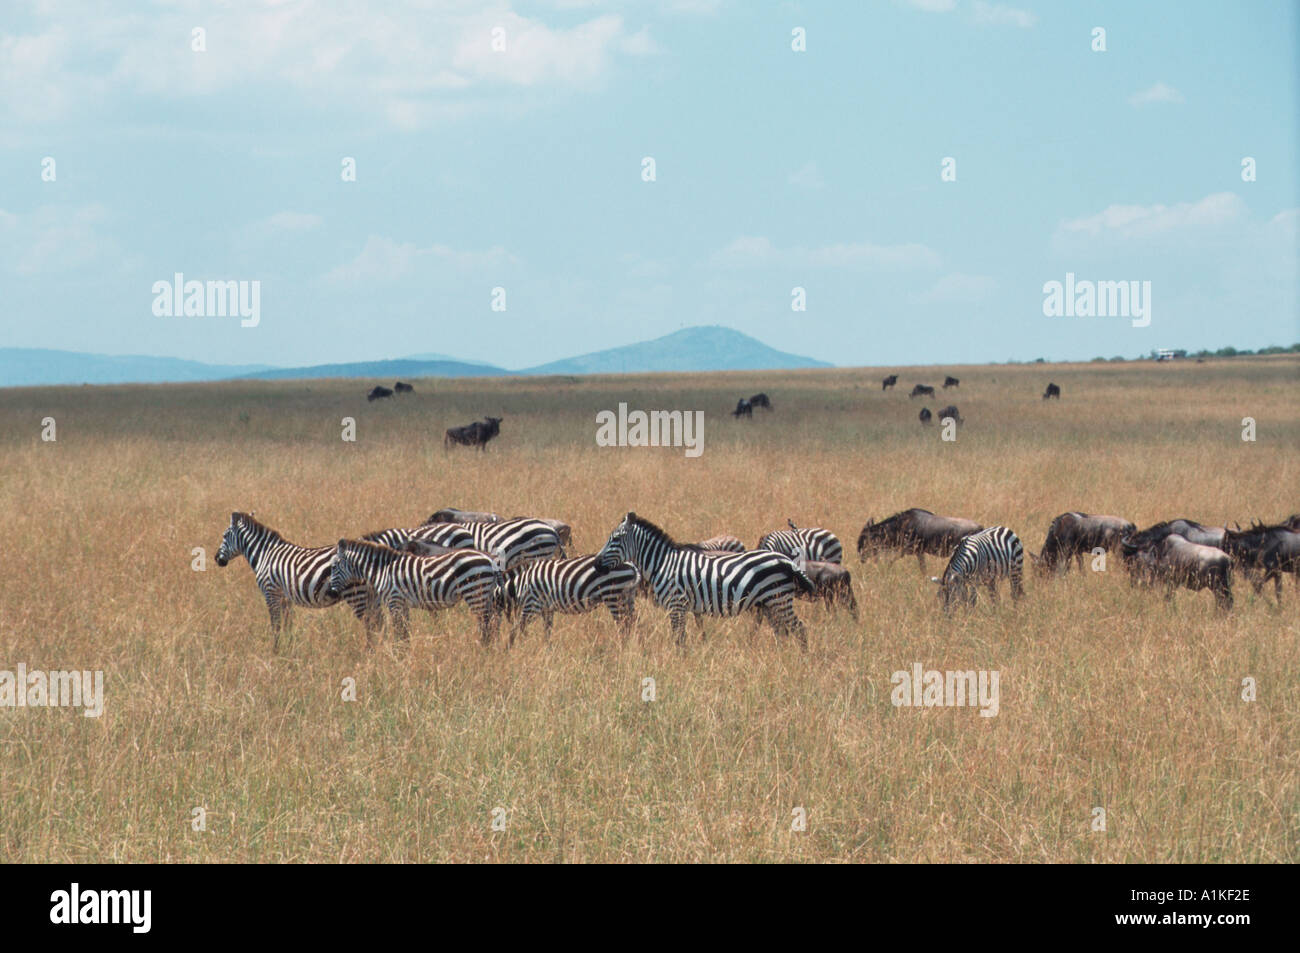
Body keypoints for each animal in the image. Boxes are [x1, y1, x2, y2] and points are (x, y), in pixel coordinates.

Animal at [214, 512, 375, 649]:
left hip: (356, 594)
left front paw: (276, 650)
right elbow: (288, 624)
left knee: (370, 625)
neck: (265, 555)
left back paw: (369, 653)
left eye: (224, 536)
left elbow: (276, 625)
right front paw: (289, 647)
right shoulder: (285, 598)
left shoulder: (271, 593)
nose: (216, 559)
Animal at [327, 539, 503, 645]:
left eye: (333, 567)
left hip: (475, 591)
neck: (382, 570)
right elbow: (405, 631)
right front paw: (404, 651)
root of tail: (490, 559)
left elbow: (399, 630)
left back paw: (482, 649)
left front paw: (398, 653)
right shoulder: (402, 604)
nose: (331, 591)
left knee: (485, 624)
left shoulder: (395, 601)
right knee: (492, 623)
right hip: (486, 594)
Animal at [497, 555, 639, 646]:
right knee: (632, 621)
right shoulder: (546, 608)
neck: (521, 582)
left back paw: (621, 647)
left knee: (623, 624)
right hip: (627, 597)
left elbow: (516, 628)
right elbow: (547, 630)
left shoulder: (532, 604)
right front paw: (547, 649)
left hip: (613, 596)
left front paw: (510, 649)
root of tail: (631, 565)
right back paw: (632, 645)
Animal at [596, 512, 816, 649]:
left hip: (778, 598)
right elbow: (682, 637)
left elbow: (679, 639)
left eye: (615, 539)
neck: (663, 563)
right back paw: (779, 656)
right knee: (783, 631)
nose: (597, 565)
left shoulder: (676, 604)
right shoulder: (682, 607)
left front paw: (680, 663)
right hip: (770, 602)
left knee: (800, 629)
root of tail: (785, 560)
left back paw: (801, 659)